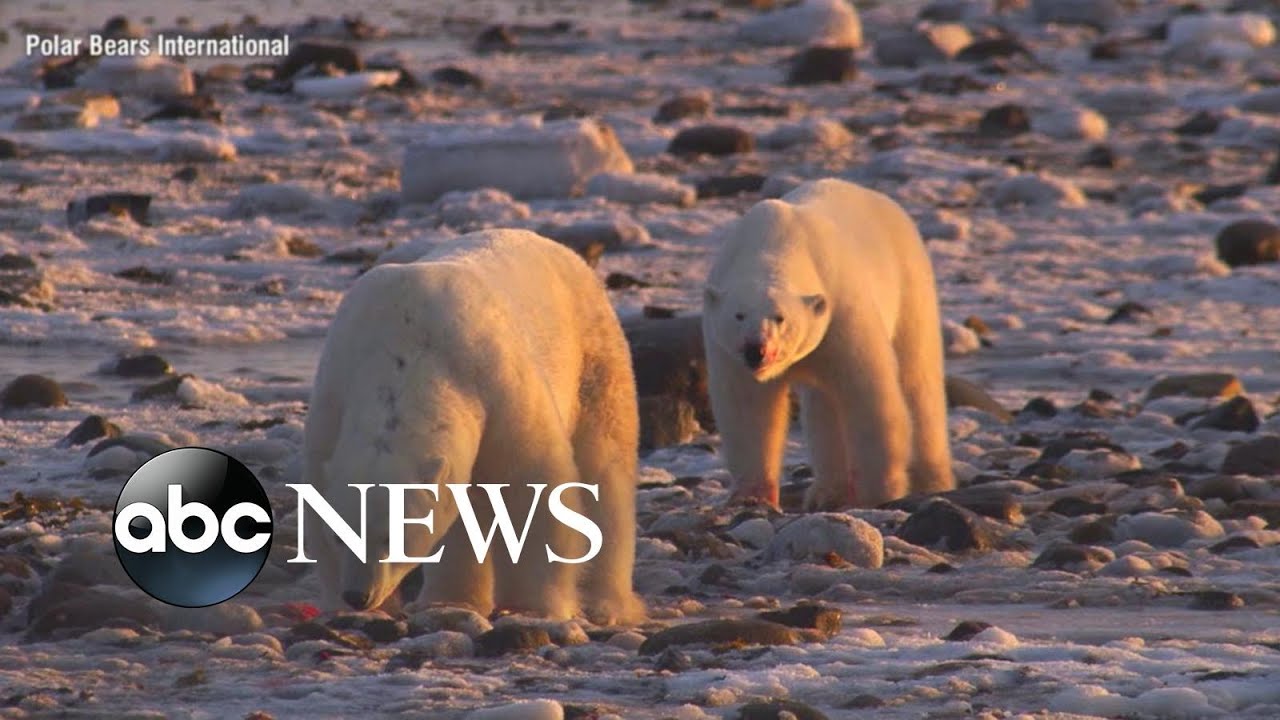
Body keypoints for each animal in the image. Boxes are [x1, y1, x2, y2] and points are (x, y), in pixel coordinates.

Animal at [301, 228, 643, 625]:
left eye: (392, 536)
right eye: (340, 536)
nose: (358, 595)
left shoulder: (496, 381)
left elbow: (533, 487)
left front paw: (534, 606)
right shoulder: (334, 397)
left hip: (594, 355)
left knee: (605, 467)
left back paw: (607, 603)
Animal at [701, 178, 953, 511]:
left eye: (780, 317)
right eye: (738, 315)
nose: (757, 350)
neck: (777, 241)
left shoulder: (842, 313)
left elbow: (868, 395)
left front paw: (877, 493)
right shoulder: (727, 351)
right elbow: (748, 407)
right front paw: (751, 497)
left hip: (910, 288)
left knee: (918, 381)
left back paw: (932, 481)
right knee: (824, 407)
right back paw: (827, 492)